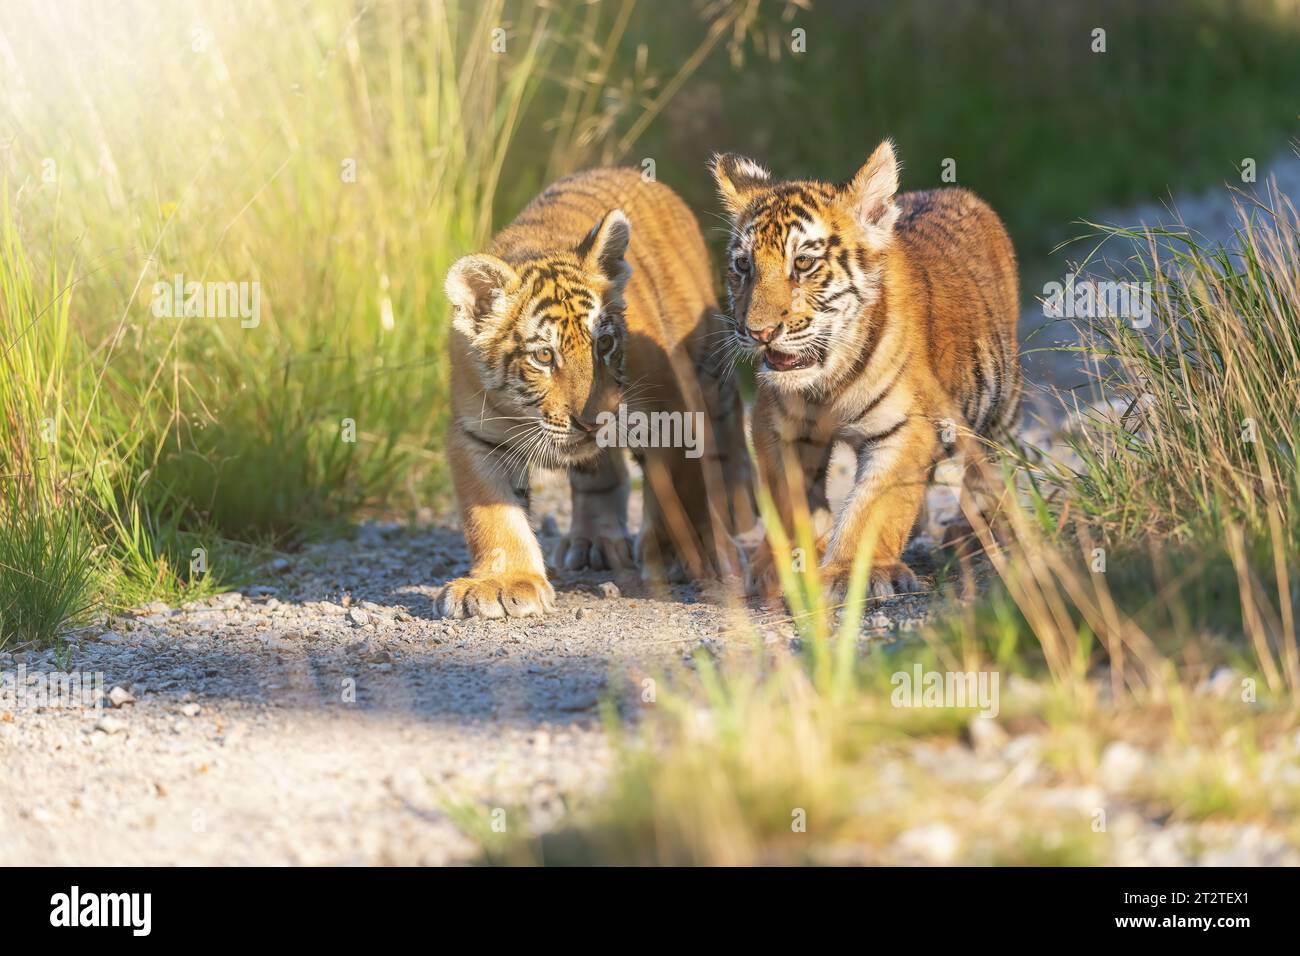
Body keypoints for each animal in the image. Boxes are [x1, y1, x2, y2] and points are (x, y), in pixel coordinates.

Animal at [438, 167, 754, 619]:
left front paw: (691, 554)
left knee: (728, 424)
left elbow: (683, 484)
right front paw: (503, 582)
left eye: (603, 344)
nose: (594, 421)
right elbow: (493, 513)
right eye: (544, 355)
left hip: (708, 357)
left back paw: (738, 508)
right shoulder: (476, 433)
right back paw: (594, 541)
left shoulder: (670, 408)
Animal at [711, 139, 1021, 599]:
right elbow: (788, 501)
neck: (826, 381)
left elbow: (875, 506)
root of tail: (957, 192)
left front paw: (851, 572)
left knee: (993, 468)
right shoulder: (777, 426)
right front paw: (781, 566)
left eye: (803, 263)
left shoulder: (905, 427)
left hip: (999, 407)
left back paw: (979, 531)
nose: (759, 332)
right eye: (744, 266)